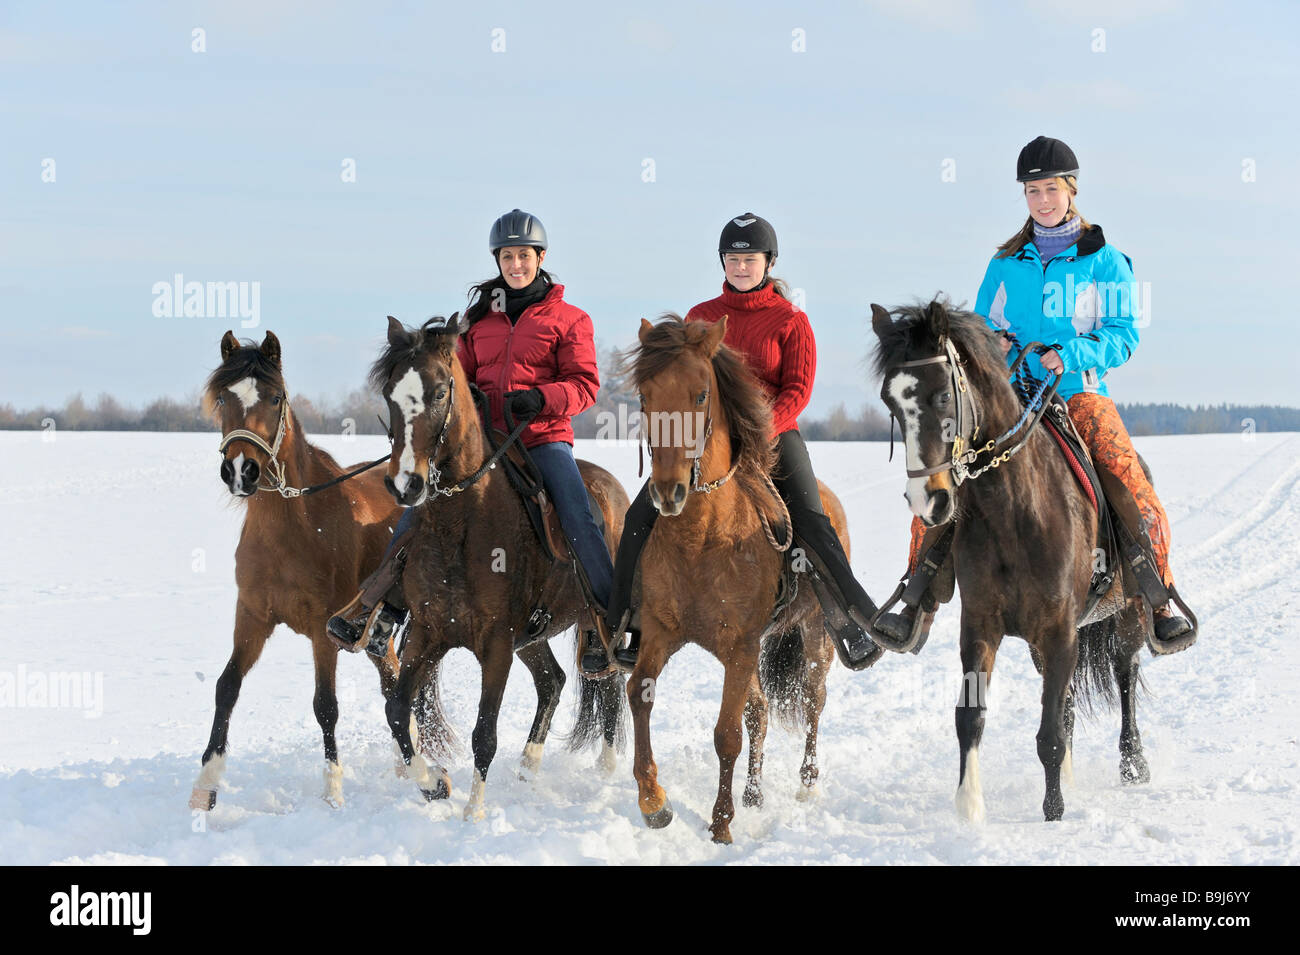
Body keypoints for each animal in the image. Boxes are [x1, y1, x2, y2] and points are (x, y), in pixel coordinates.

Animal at [192, 330, 449, 811]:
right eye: (222, 397)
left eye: (275, 398)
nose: (240, 470)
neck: (292, 528)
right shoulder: (251, 617)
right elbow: (226, 687)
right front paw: (205, 785)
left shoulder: (320, 629)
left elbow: (325, 705)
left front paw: (332, 790)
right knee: (392, 688)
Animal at [372, 315, 630, 820]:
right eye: (390, 393)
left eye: (438, 392)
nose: (405, 484)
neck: (462, 522)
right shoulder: (429, 634)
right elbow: (397, 711)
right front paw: (434, 782)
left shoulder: (495, 645)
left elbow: (484, 733)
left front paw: (473, 812)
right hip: (532, 638)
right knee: (553, 681)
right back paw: (529, 765)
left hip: (593, 625)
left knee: (610, 680)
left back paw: (607, 766)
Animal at [620, 314, 855, 844]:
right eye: (645, 395)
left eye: (701, 394)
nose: (668, 492)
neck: (703, 538)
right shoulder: (663, 633)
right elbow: (638, 693)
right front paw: (653, 802)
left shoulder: (742, 645)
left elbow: (725, 734)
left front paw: (720, 824)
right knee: (761, 712)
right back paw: (753, 793)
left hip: (813, 638)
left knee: (813, 700)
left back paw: (806, 782)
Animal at [871, 300, 1152, 823]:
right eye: (890, 403)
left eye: (944, 396)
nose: (927, 502)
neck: (1016, 510)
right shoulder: (982, 625)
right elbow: (971, 717)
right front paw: (969, 806)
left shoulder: (1061, 631)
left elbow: (1049, 734)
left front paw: (1054, 812)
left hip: (1128, 616)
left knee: (1126, 674)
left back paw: (1134, 763)